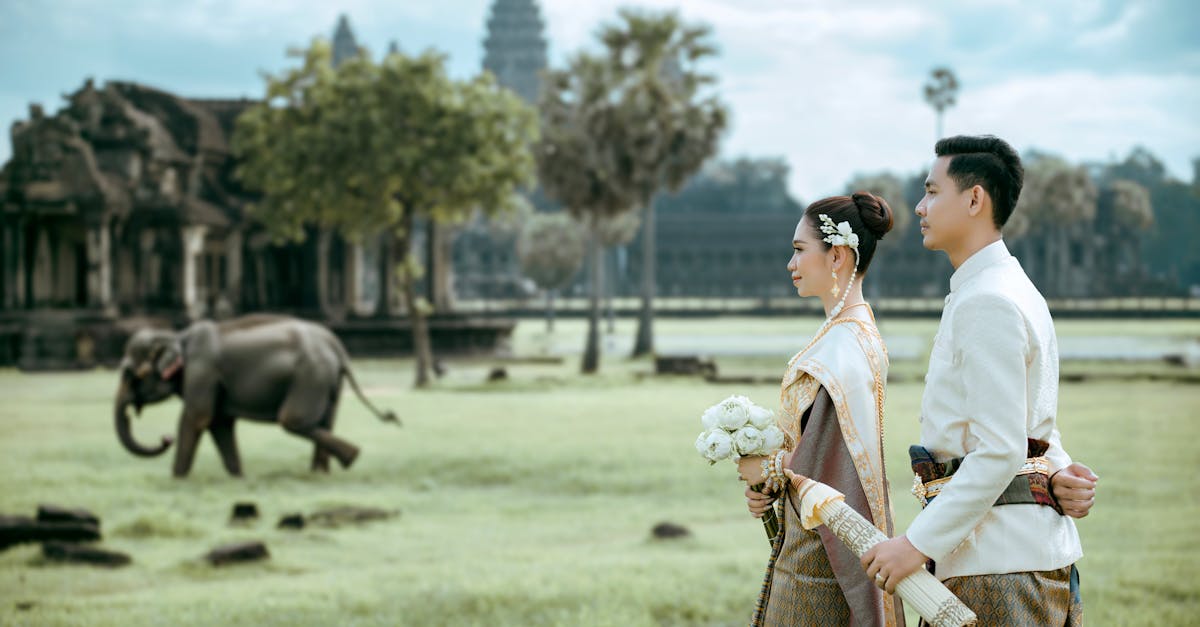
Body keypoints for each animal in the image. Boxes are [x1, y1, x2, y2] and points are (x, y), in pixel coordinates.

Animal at [114, 312, 400, 473]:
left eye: (130, 374)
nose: (165, 439)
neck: (177, 336)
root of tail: (337, 347)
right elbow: (220, 424)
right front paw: (237, 476)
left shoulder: (202, 371)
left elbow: (197, 418)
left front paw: (178, 479)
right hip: (328, 382)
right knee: (323, 422)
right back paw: (325, 471)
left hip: (310, 376)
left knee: (293, 420)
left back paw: (350, 457)